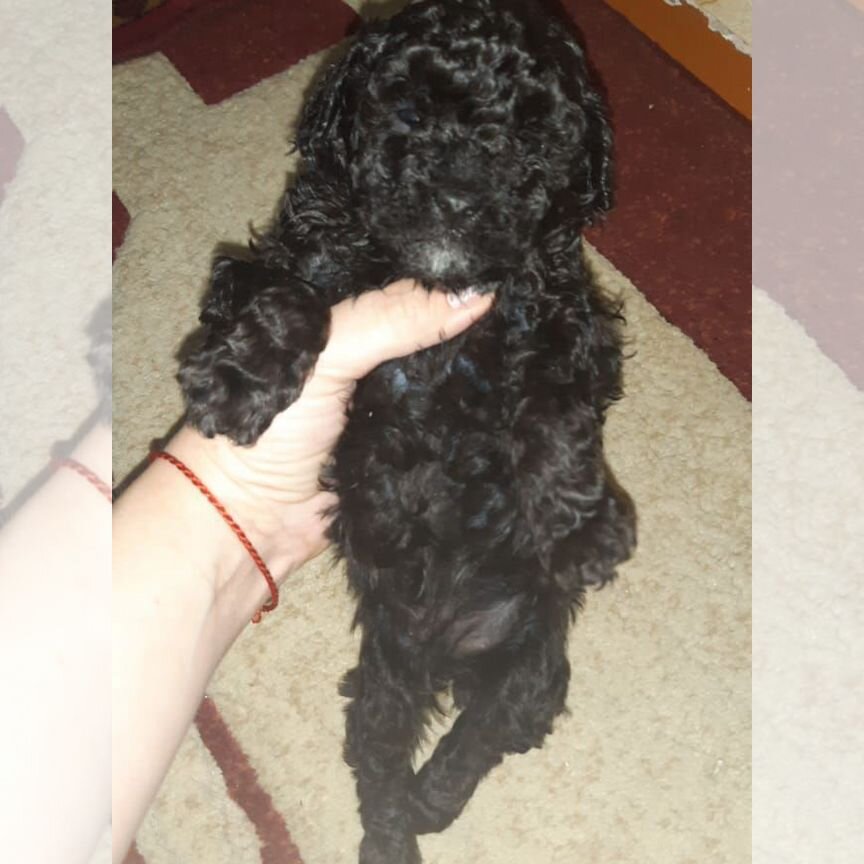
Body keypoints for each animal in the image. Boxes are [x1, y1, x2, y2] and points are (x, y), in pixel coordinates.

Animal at [179, 1, 636, 861]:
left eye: (531, 136)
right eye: (410, 114)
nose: (458, 196)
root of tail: (443, 657)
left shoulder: (571, 318)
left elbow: (554, 406)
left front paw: (583, 527)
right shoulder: (291, 253)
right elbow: (286, 293)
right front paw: (238, 382)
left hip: (532, 668)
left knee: (484, 735)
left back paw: (431, 803)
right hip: (386, 678)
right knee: (379, 756)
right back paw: (396, 831)